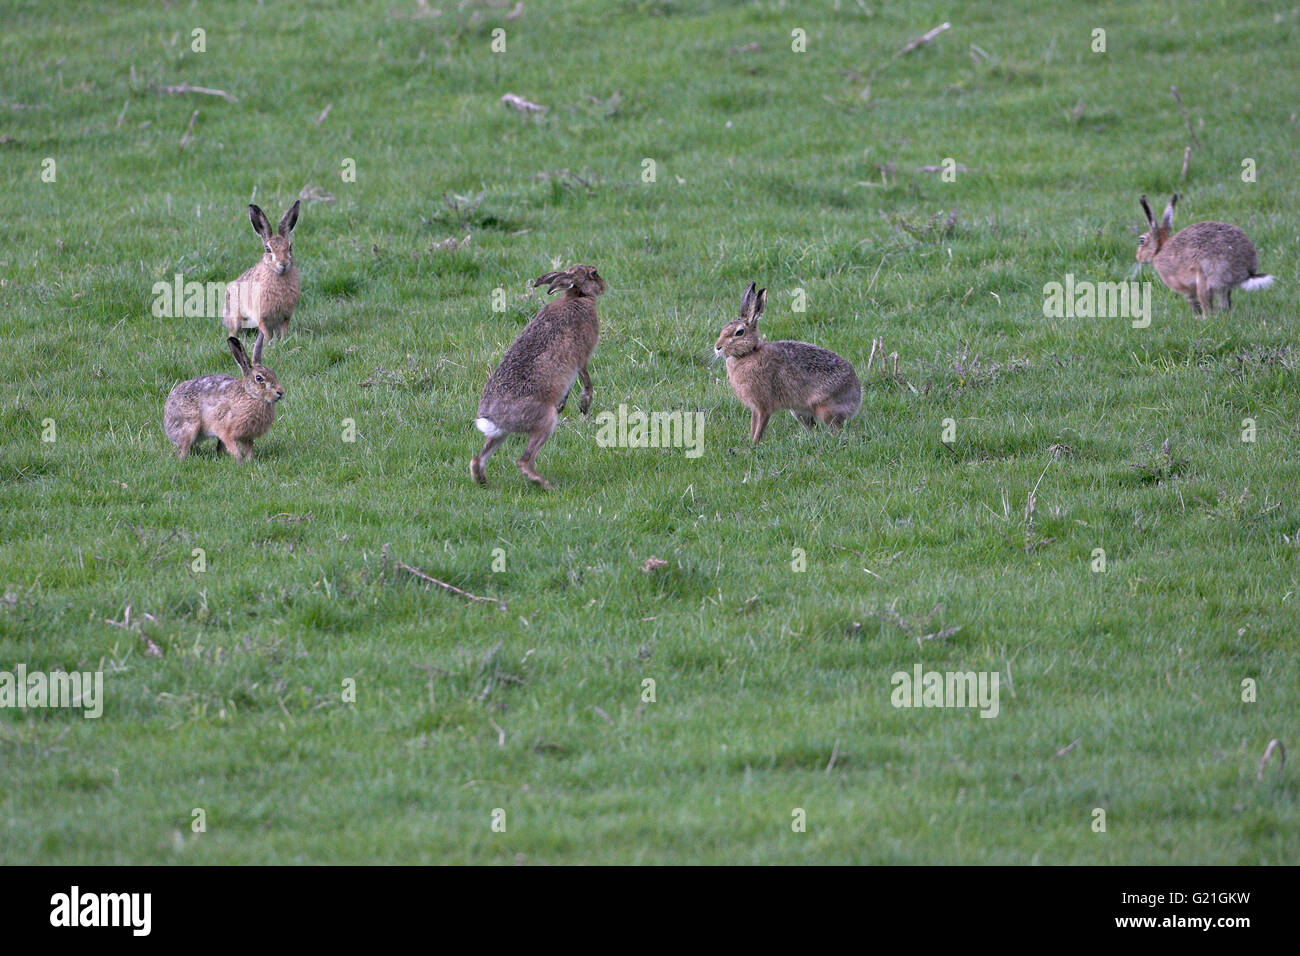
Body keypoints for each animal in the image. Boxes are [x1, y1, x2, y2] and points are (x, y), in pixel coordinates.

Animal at [222, 200, 301, 342]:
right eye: (268, 249)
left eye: (290, 247)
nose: (284, 264)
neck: (278, 274)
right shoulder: (261, 315)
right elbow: (264, 330)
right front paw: (268, 342)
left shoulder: (286, 316)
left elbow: (284, 329)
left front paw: (283, 340)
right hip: (235, 317)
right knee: (232, 331)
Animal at [471, 264, 605, 489]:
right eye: (594, 273)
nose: (603, 286)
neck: (577, 297)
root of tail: (492, 417)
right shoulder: (581, 358)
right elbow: (587, 382)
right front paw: (584, 405)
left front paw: (565, 403)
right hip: (545, 421)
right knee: (524, 460)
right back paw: (546, 485)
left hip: (501, 434)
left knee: (477, 459)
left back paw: (483, 482)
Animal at [714, 282, 861, 443]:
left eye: (739, 332)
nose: (717, 347)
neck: (748, 354)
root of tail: (857, 395)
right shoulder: (754, 408)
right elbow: (753, 425)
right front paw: (750, 441)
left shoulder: (763, 405)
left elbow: (760, 426)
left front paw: (755, 444)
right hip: (799, 412)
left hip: (825, 409)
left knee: (835, 428)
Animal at [1137, 194, 1273, 313]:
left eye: (1142, 240)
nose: (1137, 257)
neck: (1159, 249)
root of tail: (1246, 270)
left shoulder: (1183, 287)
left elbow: (1192, 301)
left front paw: (1195, 315)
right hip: (1223, 287)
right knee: (1225, 303)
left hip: (1204, 279)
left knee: (1207, 306)